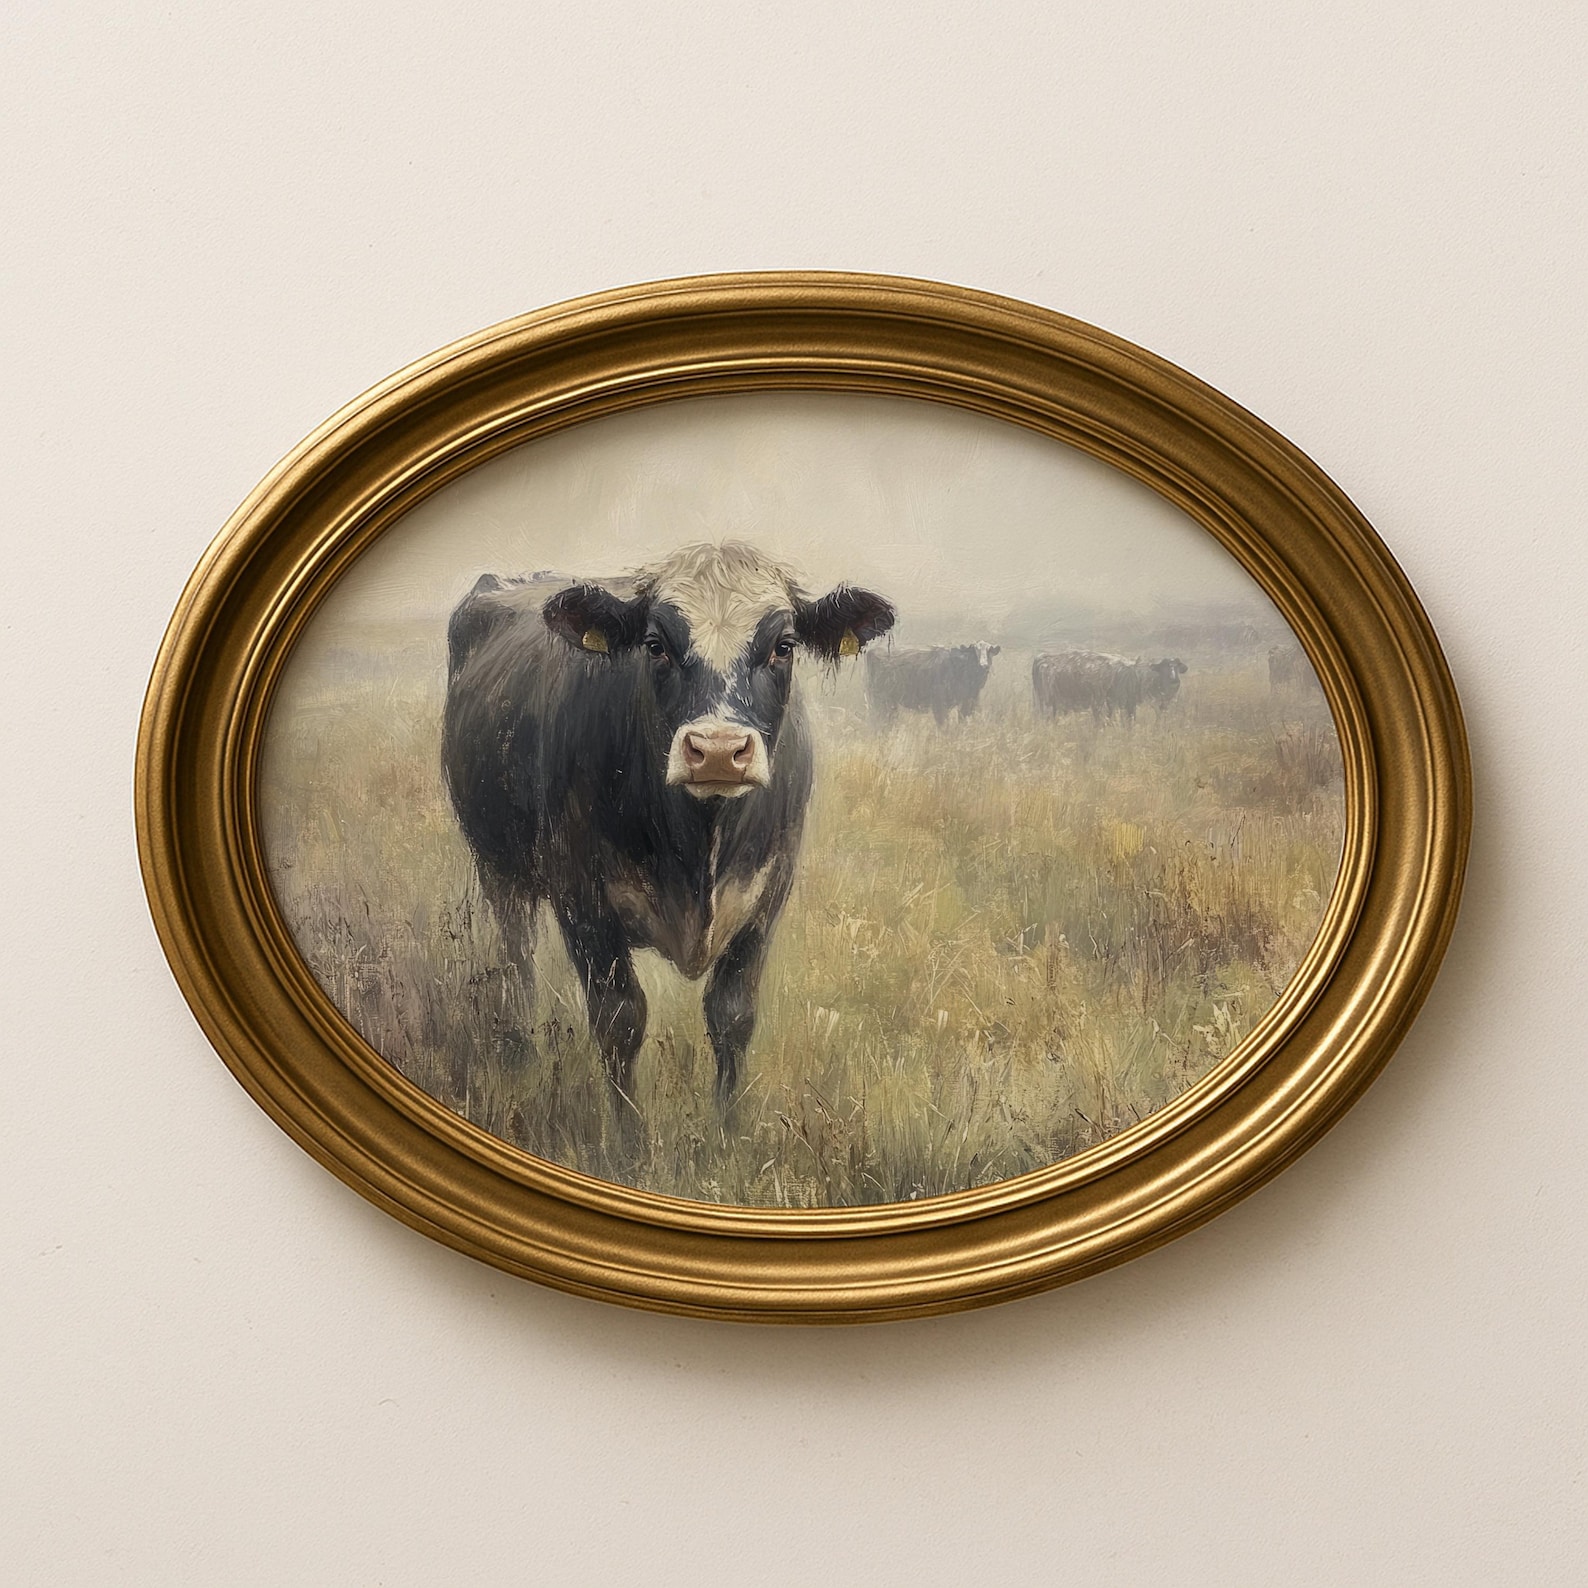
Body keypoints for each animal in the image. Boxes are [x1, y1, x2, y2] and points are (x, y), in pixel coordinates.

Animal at [441, 541, 895, 1108]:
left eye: (784, 645)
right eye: (655, 645)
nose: (718, 751)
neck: (699, 843)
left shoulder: (767, 897)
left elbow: (731, 1018)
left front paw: (727, 1126)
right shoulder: (582, 903)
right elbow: (619, 1022)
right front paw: (630, 1132)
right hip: (498, 867)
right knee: (516, 958)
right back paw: (517, 1052)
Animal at [864, 642, 1000, 726]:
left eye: (990, 651)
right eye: (974, 652)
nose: (983, 665)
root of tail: (873, 650)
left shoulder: (966, 704)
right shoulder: (939, 703)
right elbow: (943, 725)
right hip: (881, 699)